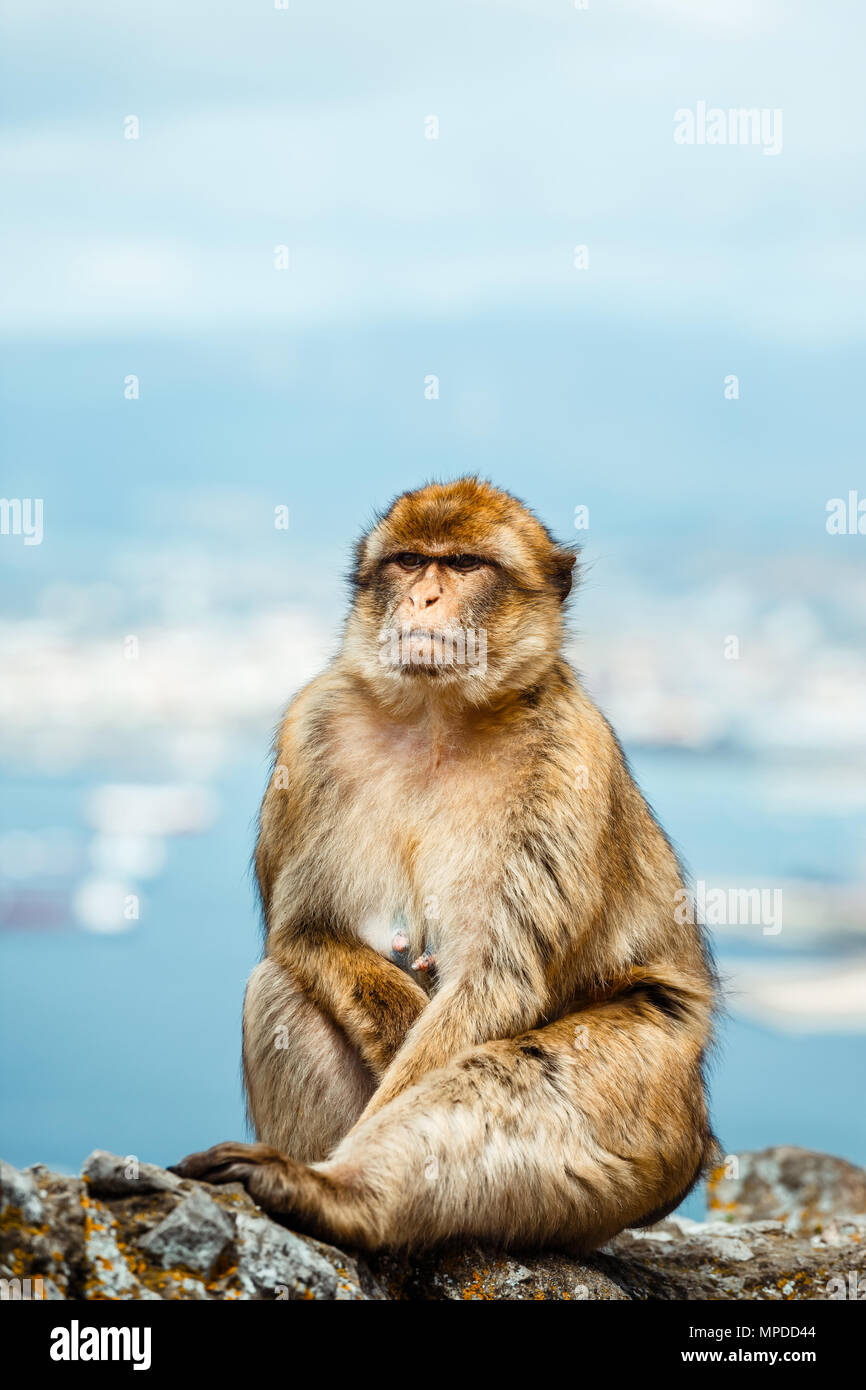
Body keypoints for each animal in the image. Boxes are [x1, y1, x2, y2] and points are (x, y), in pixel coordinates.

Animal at [172, 477, 719, 1254]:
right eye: (408, 561)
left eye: (463, 565)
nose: (424, 598)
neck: (438, 714)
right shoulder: (310, 732)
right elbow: (306, 932)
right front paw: (398, 1009)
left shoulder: (569, 758)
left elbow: (495, 985)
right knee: (276, 987)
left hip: (658, 1105)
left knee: (512, 1076)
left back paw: (337, 1195)